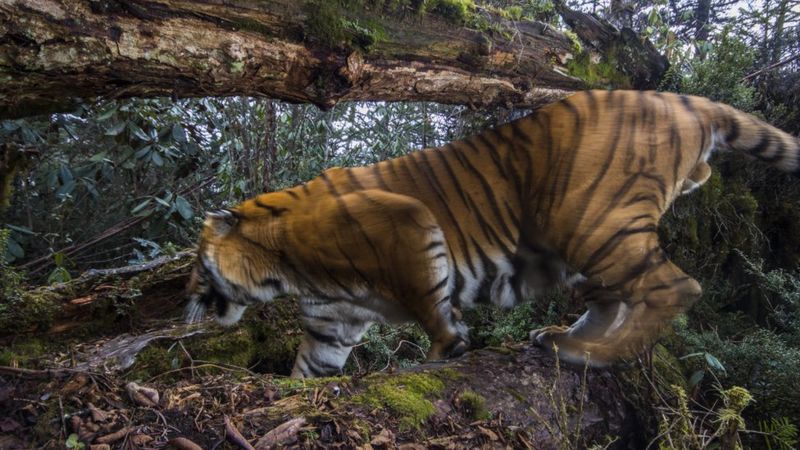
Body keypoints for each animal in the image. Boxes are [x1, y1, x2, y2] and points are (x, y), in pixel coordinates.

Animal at [186, 90, 799, 378]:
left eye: (194, 263)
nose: (186, 295)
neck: (285, 270)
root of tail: (676, 97)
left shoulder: (407, 223)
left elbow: (430, 302)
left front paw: (445, 349)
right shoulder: (331, 324)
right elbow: (309, 369)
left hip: (590, 221)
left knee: (675, 288)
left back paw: (594, 356)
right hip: (586, 238)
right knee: (614, 295)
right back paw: (564, 340)